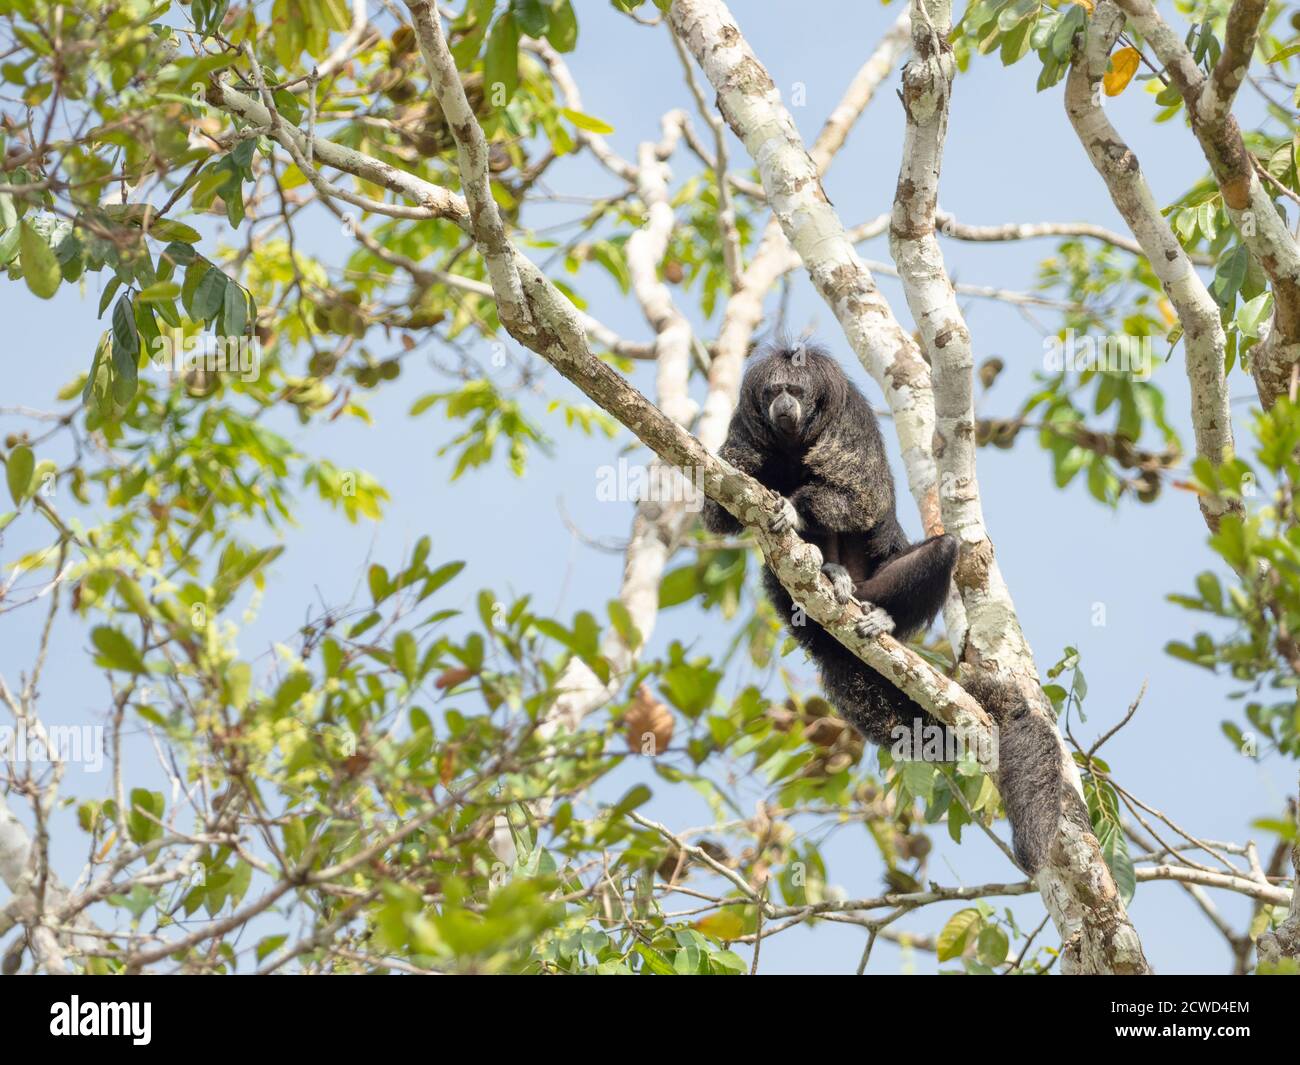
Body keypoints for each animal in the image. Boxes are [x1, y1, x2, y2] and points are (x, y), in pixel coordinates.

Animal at [702, 341, 1072, 873]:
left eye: (794, 390)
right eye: (771, 393)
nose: (782, 405)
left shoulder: (848, 421)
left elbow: (862, 495)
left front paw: (794, 507)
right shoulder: (745, 427)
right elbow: (718, 510)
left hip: (875, 582)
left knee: (942, 549)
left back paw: (875, 611)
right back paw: (826, 572)